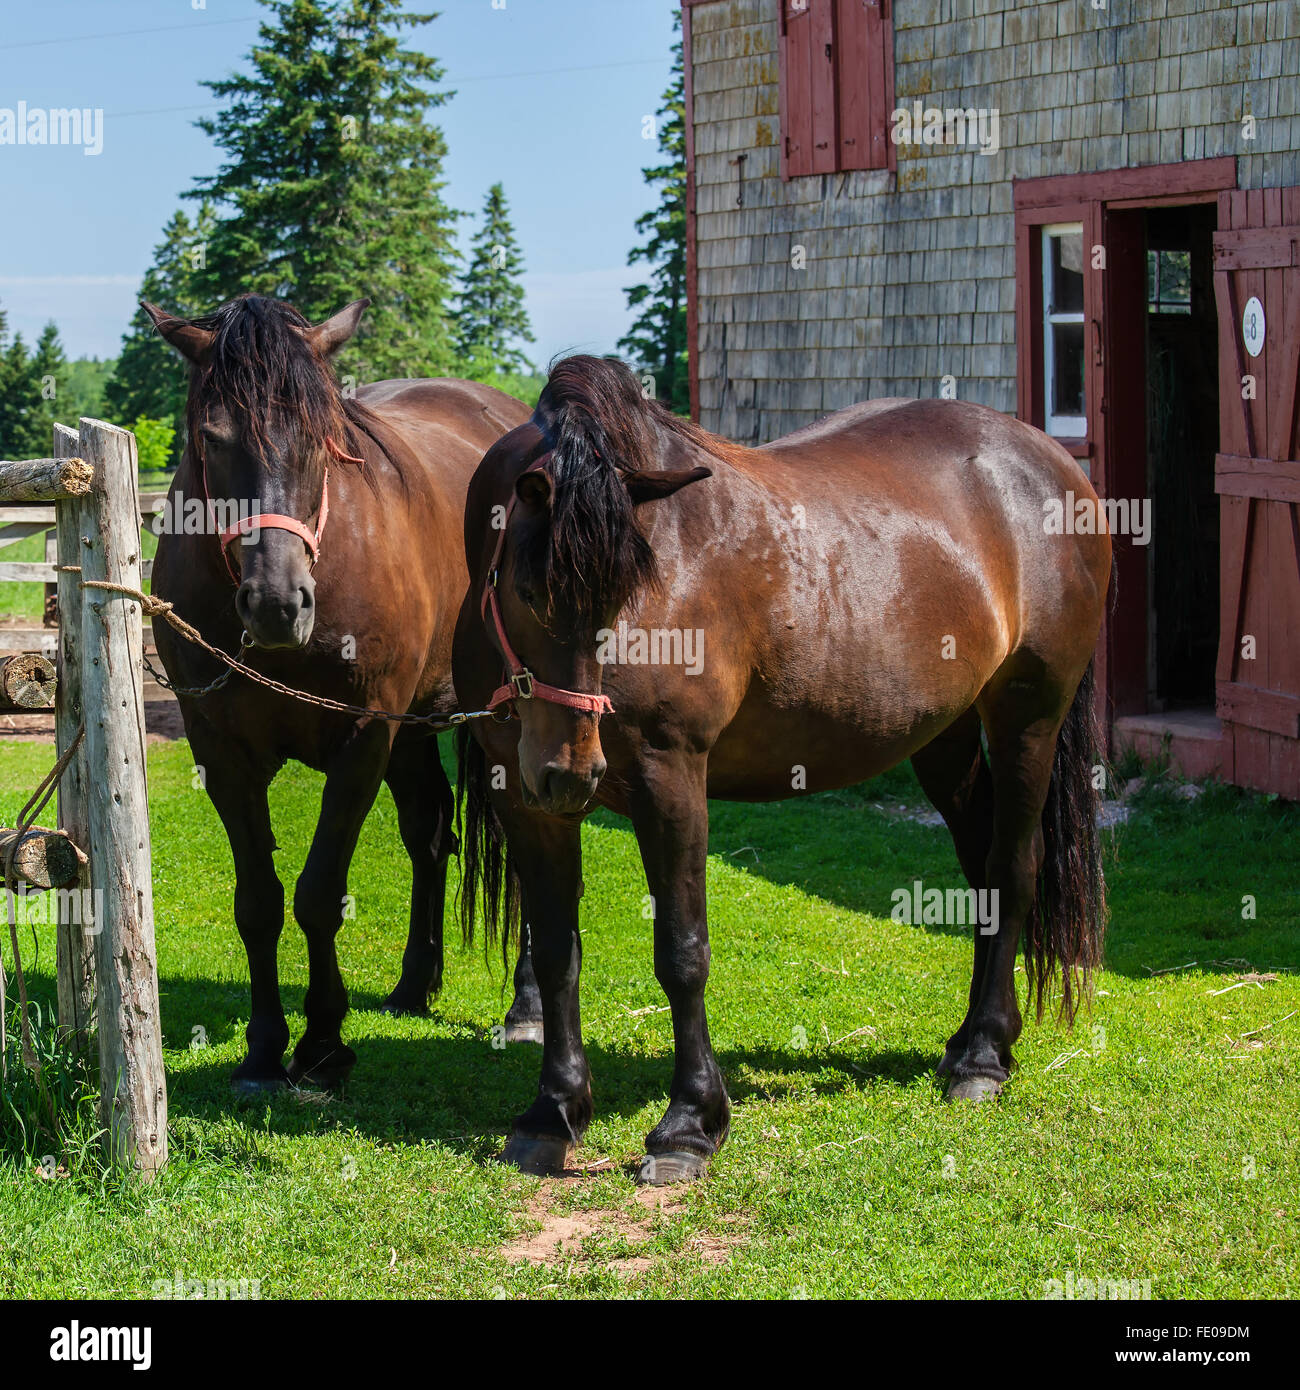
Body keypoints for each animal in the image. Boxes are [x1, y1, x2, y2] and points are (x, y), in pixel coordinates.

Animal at [146, 293, 533, 1091]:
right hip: (417, 729)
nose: (277, 603)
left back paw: (525, 1007)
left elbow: (320, 895)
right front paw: (265, 1047)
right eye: (212, 438)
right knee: (429, 831)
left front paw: (323, 1042)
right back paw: (415, 983)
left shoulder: (364, 736)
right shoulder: (220, 752)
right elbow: (259, 903)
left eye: (320, 442)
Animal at [453, 354, 1111, 1184]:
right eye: (530, 591)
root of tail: (1052, 463)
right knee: (983, 870)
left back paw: (984, 1061)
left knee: (1014, 867)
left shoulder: (672, 780)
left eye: (623, 598)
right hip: (947, 737)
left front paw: (688, 1125)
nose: (571, 773)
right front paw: (553, 1113)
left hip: (1028, 717)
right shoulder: (524, 802)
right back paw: (973, 1041)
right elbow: (556, 954)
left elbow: (682, 952)